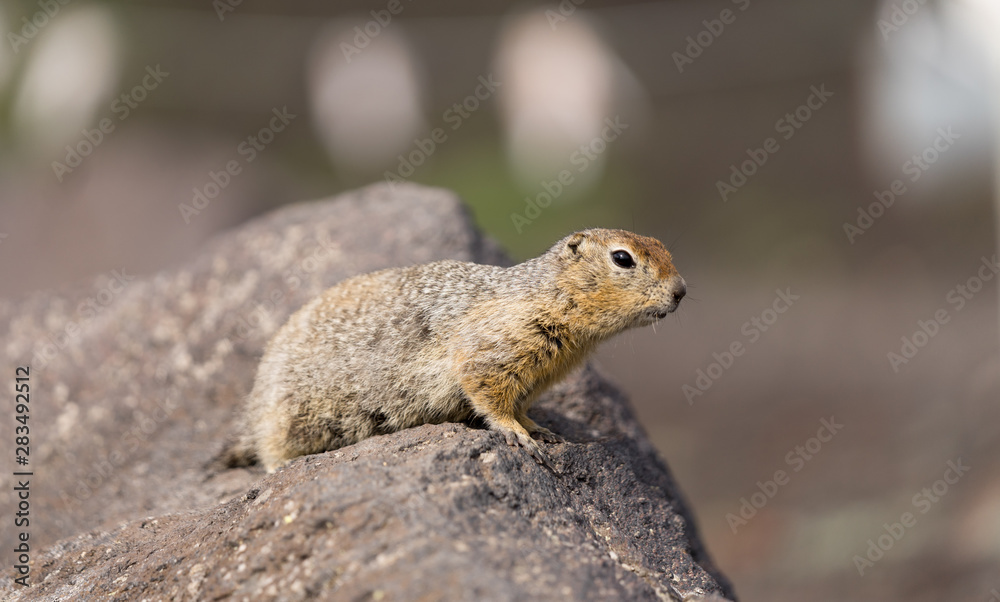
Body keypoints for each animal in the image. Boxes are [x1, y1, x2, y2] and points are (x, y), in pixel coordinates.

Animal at [217, 228, 685, 472]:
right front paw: (518, 434)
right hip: (289, 417)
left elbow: (520, 403)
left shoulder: (538, 374)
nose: (681, 291)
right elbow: (487, 389)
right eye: (623, 258)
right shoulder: (498, 347)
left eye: (665, 246)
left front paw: (539, 427)